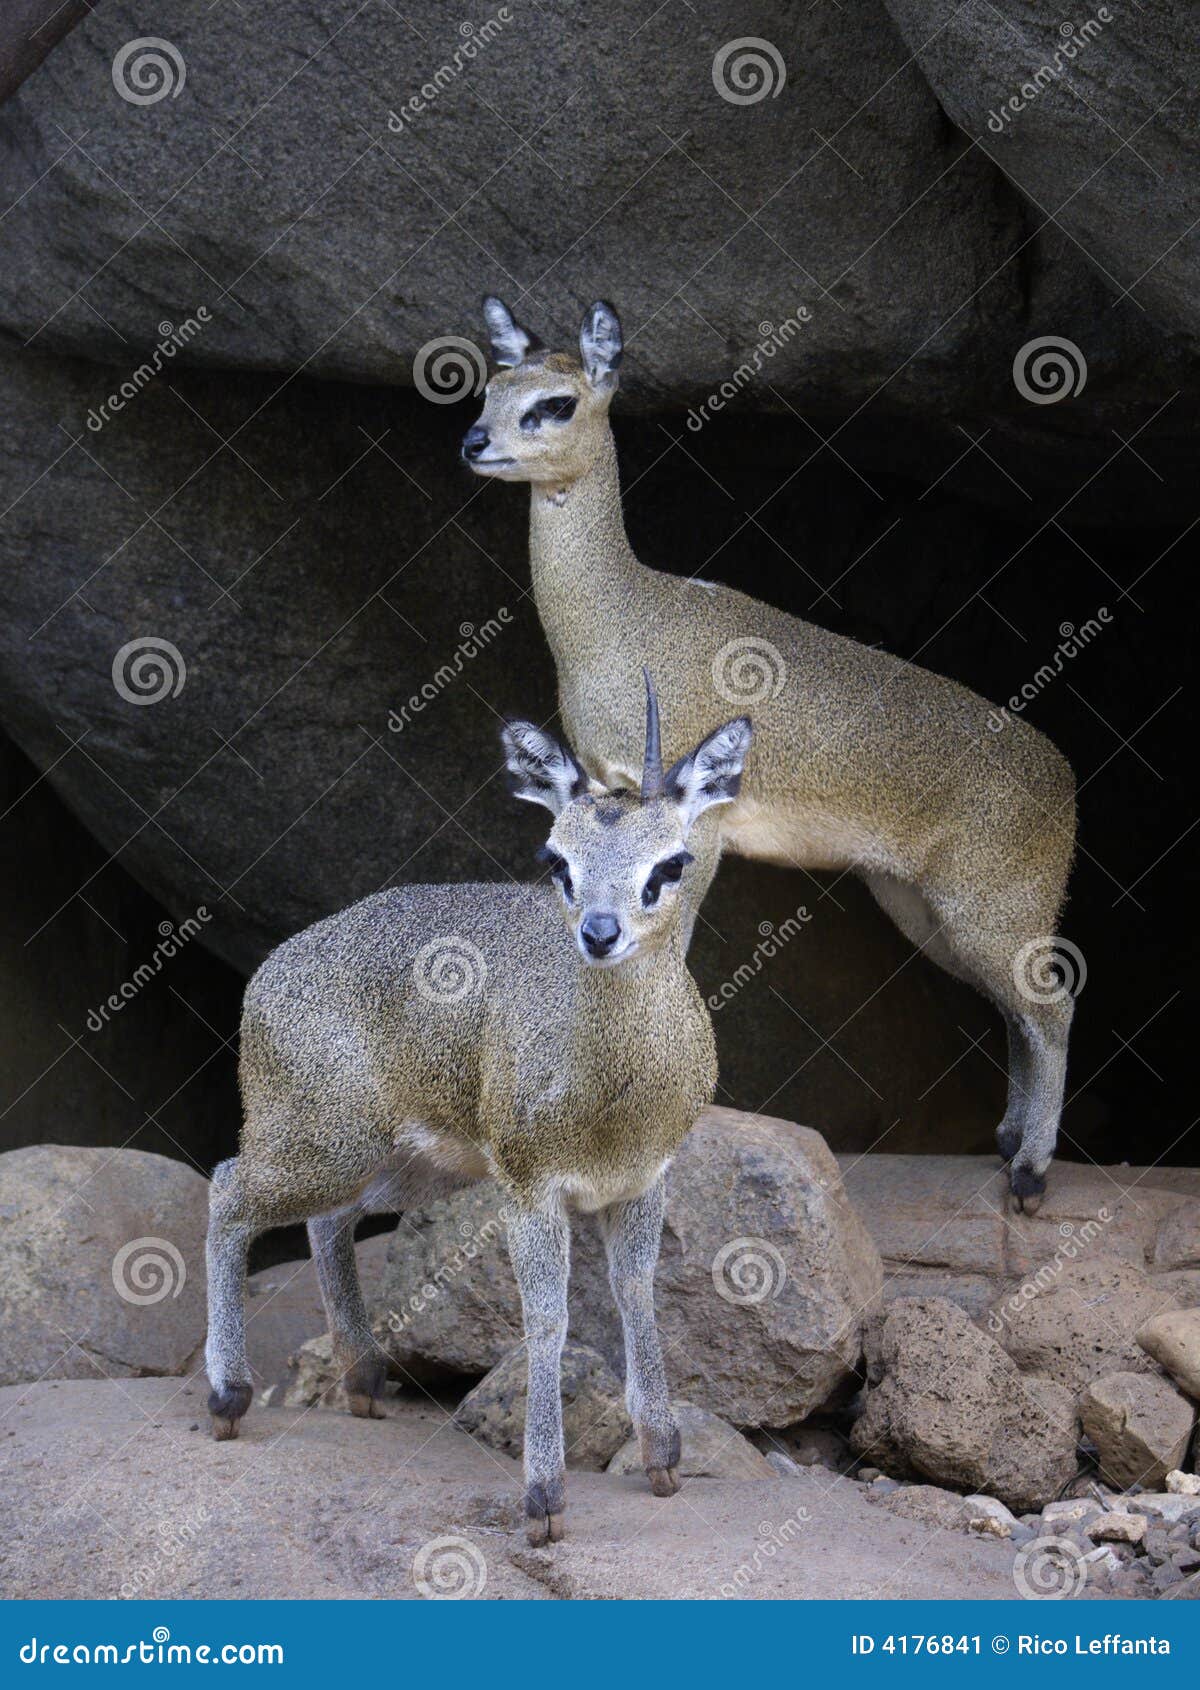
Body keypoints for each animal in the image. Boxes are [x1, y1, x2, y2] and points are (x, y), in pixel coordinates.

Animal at [206, 676, 752, 1546]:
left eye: (670, 862)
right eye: (556, 860)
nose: (601, 932)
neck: (613, 1094)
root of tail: (268, 974)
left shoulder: (643, 1180)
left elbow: (636, 1292)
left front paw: (663, 1455)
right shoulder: (531, 1189)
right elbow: (549, 1319)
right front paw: (544, 1497)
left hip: (409, 1162)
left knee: (327, 1220)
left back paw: (363, 1379)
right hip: (320, 1140)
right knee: (228, 1186)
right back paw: (228, 1396)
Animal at [462, 296, 1078, 1211]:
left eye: (556, 403)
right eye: (492, 387)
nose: (475, 443)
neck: (623, 618)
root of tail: (1066, 779)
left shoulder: (700, 826)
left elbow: (671, 939)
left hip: (995, 905)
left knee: (1053, 1002)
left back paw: (1033, 1175)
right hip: (924, 908)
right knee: (1017, 1009)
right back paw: (1007, 1146)